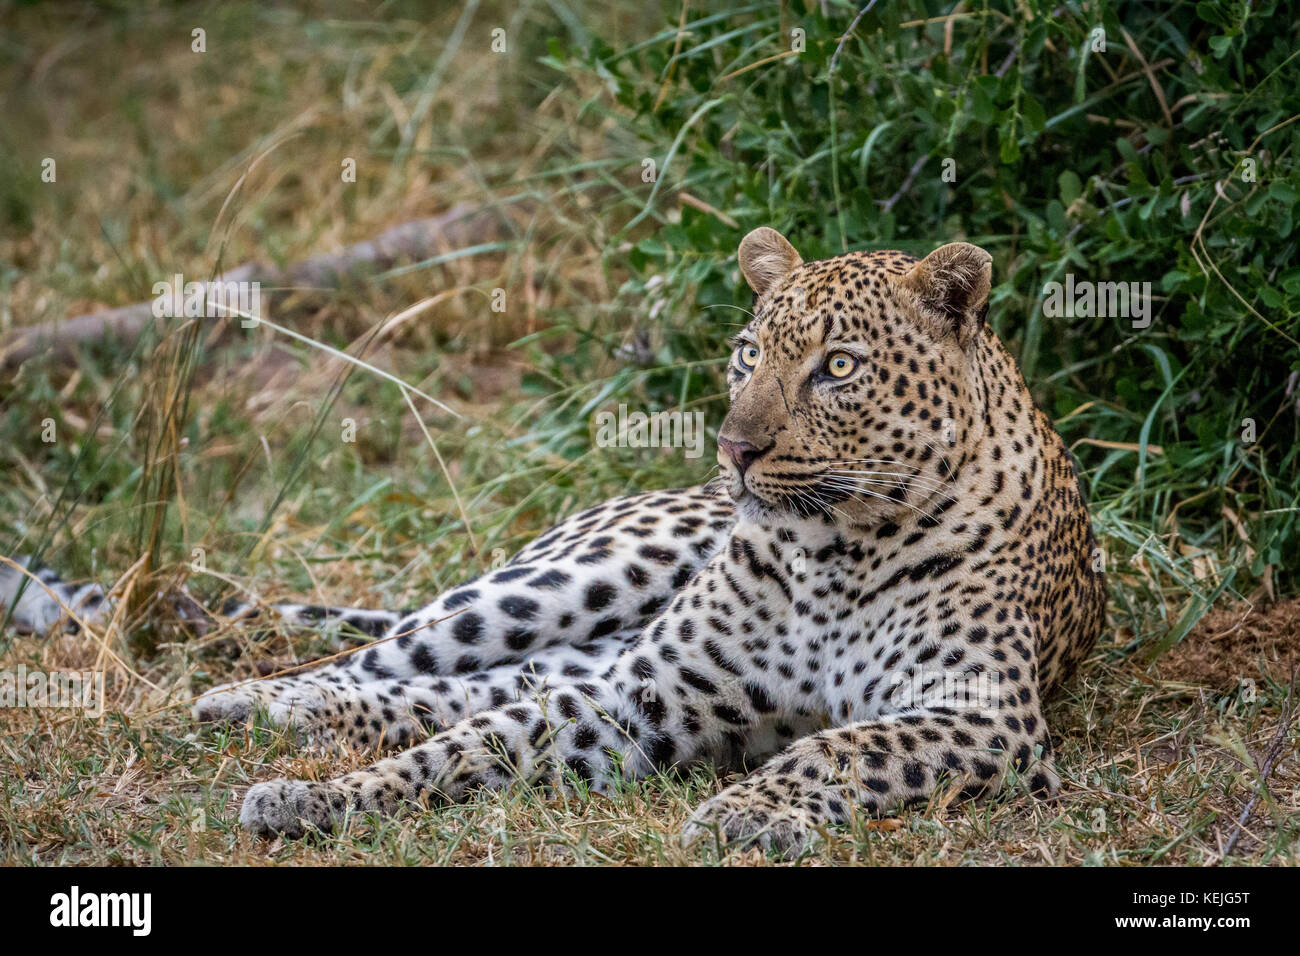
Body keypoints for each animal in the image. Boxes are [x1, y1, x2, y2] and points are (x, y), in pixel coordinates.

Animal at [2, 227, 1106, 856]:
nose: (737, 448)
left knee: (460, 687)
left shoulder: (986, 717)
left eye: (837, 366)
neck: (833, 555)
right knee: (396, 655)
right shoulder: (645, 697)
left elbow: (845, 744)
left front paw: (748, 811)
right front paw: (323, 800)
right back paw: (257, 705)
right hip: (571, 583)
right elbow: (479, 743)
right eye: (748, 355)